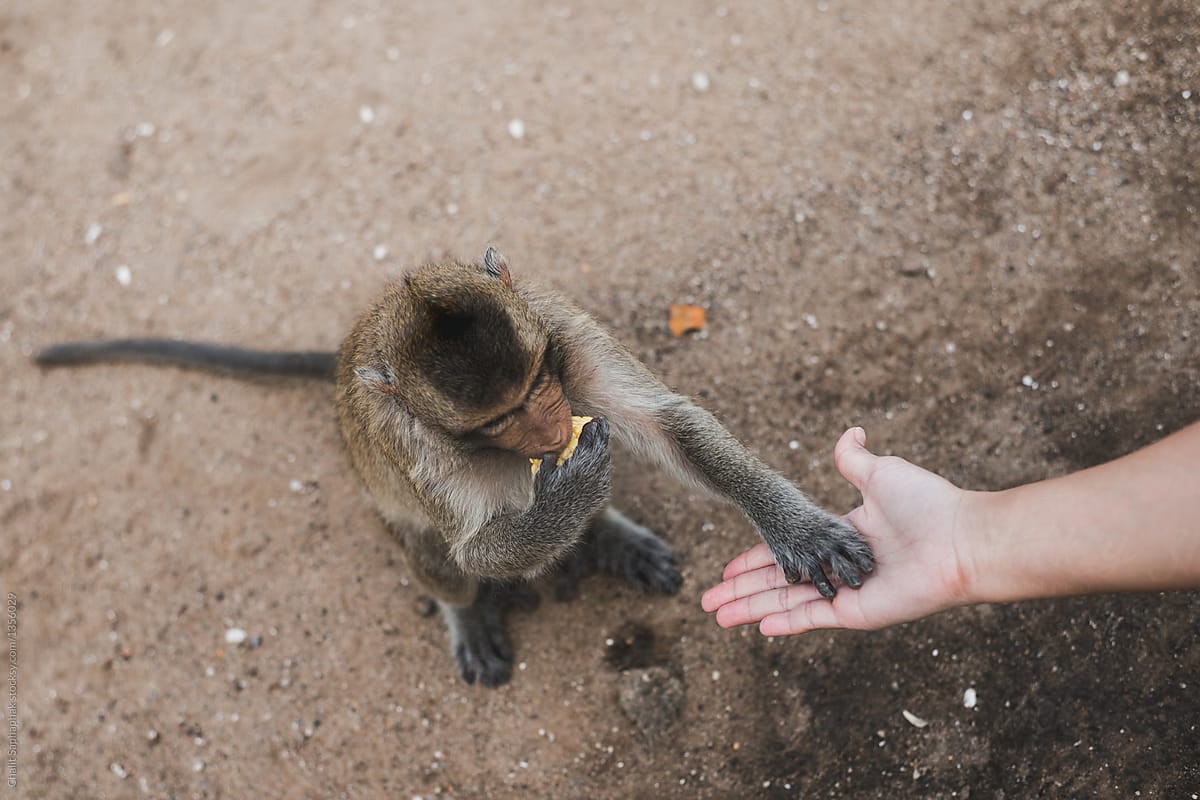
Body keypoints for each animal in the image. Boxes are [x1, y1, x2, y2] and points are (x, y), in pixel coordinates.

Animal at [35, 247, 874, 687]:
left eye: (536, 385)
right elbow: (472, 549)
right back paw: (478, 601)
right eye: (498, 419)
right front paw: (572, 492)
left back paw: (606, 534)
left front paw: (800, 534)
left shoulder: (560, 329)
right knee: (435, 552)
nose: (548, 426)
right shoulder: (424, 449)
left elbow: (667, 426)